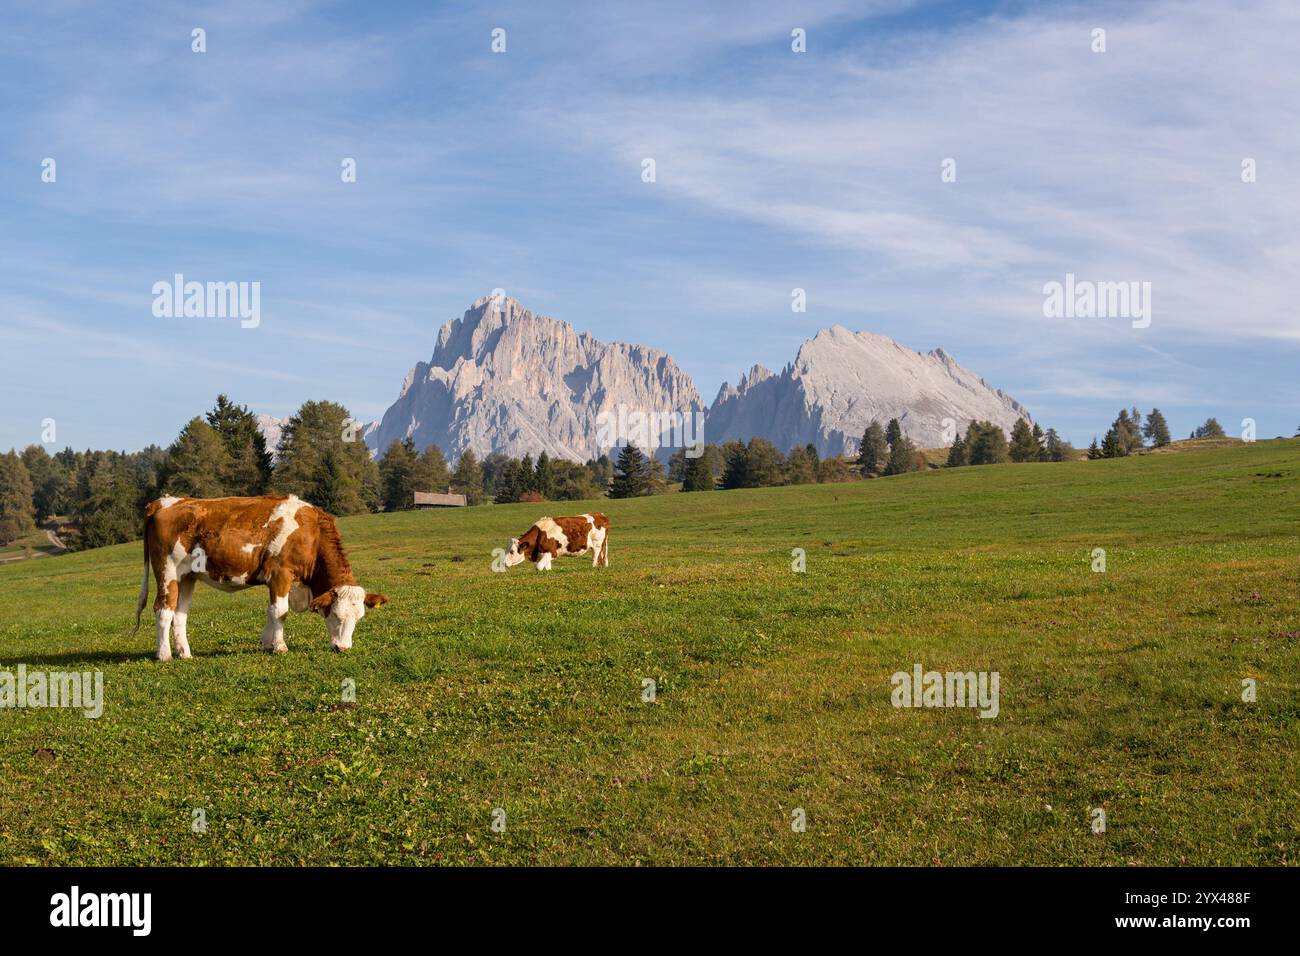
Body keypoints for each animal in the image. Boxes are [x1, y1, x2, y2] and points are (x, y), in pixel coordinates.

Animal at [134, 495, 389, 660]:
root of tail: (164, 501)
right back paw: (164, 655)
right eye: (336, 615)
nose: (343, 648)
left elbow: (271, 611)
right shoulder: (281, 574)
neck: (311, 532)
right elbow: (280, 611)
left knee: (179, 614)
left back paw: (185, 654)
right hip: (167, 572)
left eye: (359, 618)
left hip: (187, 576)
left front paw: (266, 644)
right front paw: (280, 647)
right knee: (163, 610)